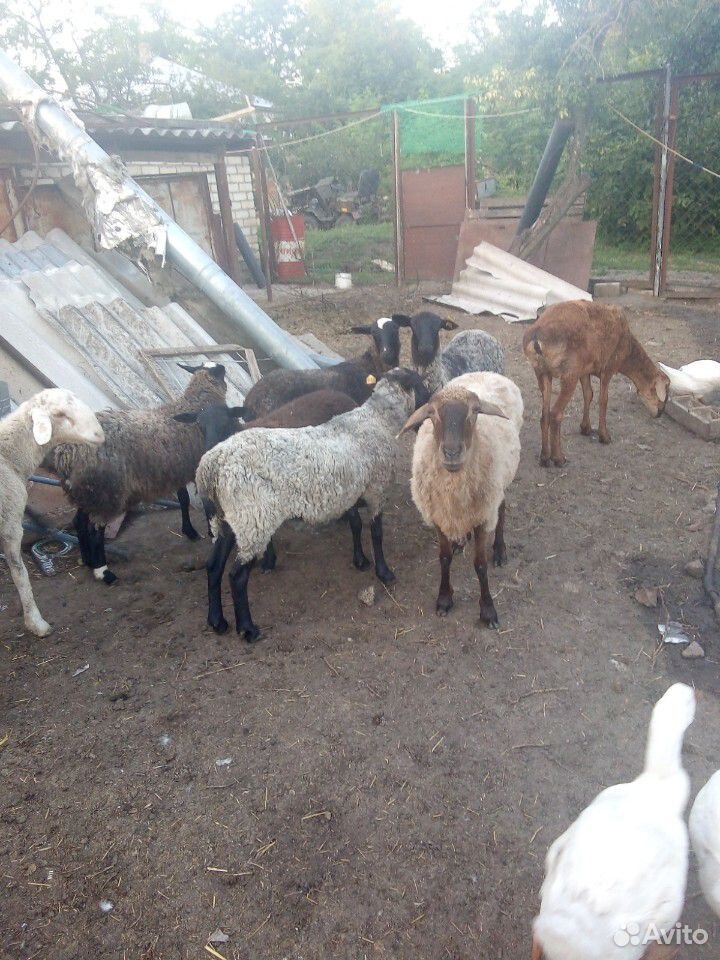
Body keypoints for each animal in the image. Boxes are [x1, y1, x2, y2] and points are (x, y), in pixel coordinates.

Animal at [1, 389, 105, 636]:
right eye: (58, 415)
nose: (99, 434)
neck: (10, 457)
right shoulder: (10, 525)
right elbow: (20, 574)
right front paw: (36, 623)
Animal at [52, 362, 228, 585]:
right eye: (219, 371)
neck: (194, 405)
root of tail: (66, 452)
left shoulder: (175, 468)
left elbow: (183, 499)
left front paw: (190, 531)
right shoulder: (198, 464)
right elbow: (205, 503)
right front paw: (213, 532)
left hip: (89, 491)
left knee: (80, 521)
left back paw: (87, 560)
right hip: (107, 490)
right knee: (96, 528)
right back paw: (103, 571)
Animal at [194, 368, 430, 641]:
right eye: (421, 385)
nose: (432, 397)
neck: (377, 420)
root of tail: (212, 464)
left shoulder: (349, 490)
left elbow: (355, 524)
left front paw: (360, 561)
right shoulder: (376, 489)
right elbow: (376, 533)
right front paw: (384, 572)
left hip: (230, 519)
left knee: (213, 567)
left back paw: (217, 621)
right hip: (254, 519)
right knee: (237, 576)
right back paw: (248, 629)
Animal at [399, 372, 523, 628]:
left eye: (474, 411)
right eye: (432, 413)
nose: (452, 452)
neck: (454, 489)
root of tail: (486, 373)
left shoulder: (483, 517)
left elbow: (480, 566)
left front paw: (488, 610)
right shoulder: (438, 517)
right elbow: (444, 559)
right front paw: (444, 599)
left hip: (500, 483)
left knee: (502, 508)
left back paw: (499, 550)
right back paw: (461, 541)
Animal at [522, 300, 670, 467]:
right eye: (665, 391)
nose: (660, 413)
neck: (627, 353)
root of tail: (536, 340)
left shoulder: (585, 371)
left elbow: (588, 395)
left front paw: (585, 428)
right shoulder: (608, 367)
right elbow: (603, 400)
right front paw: (604, 436)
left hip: (542, 373)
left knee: (544, 414)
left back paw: (544, 457)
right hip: (569, 373)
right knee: (555, 414)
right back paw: (558, 458)